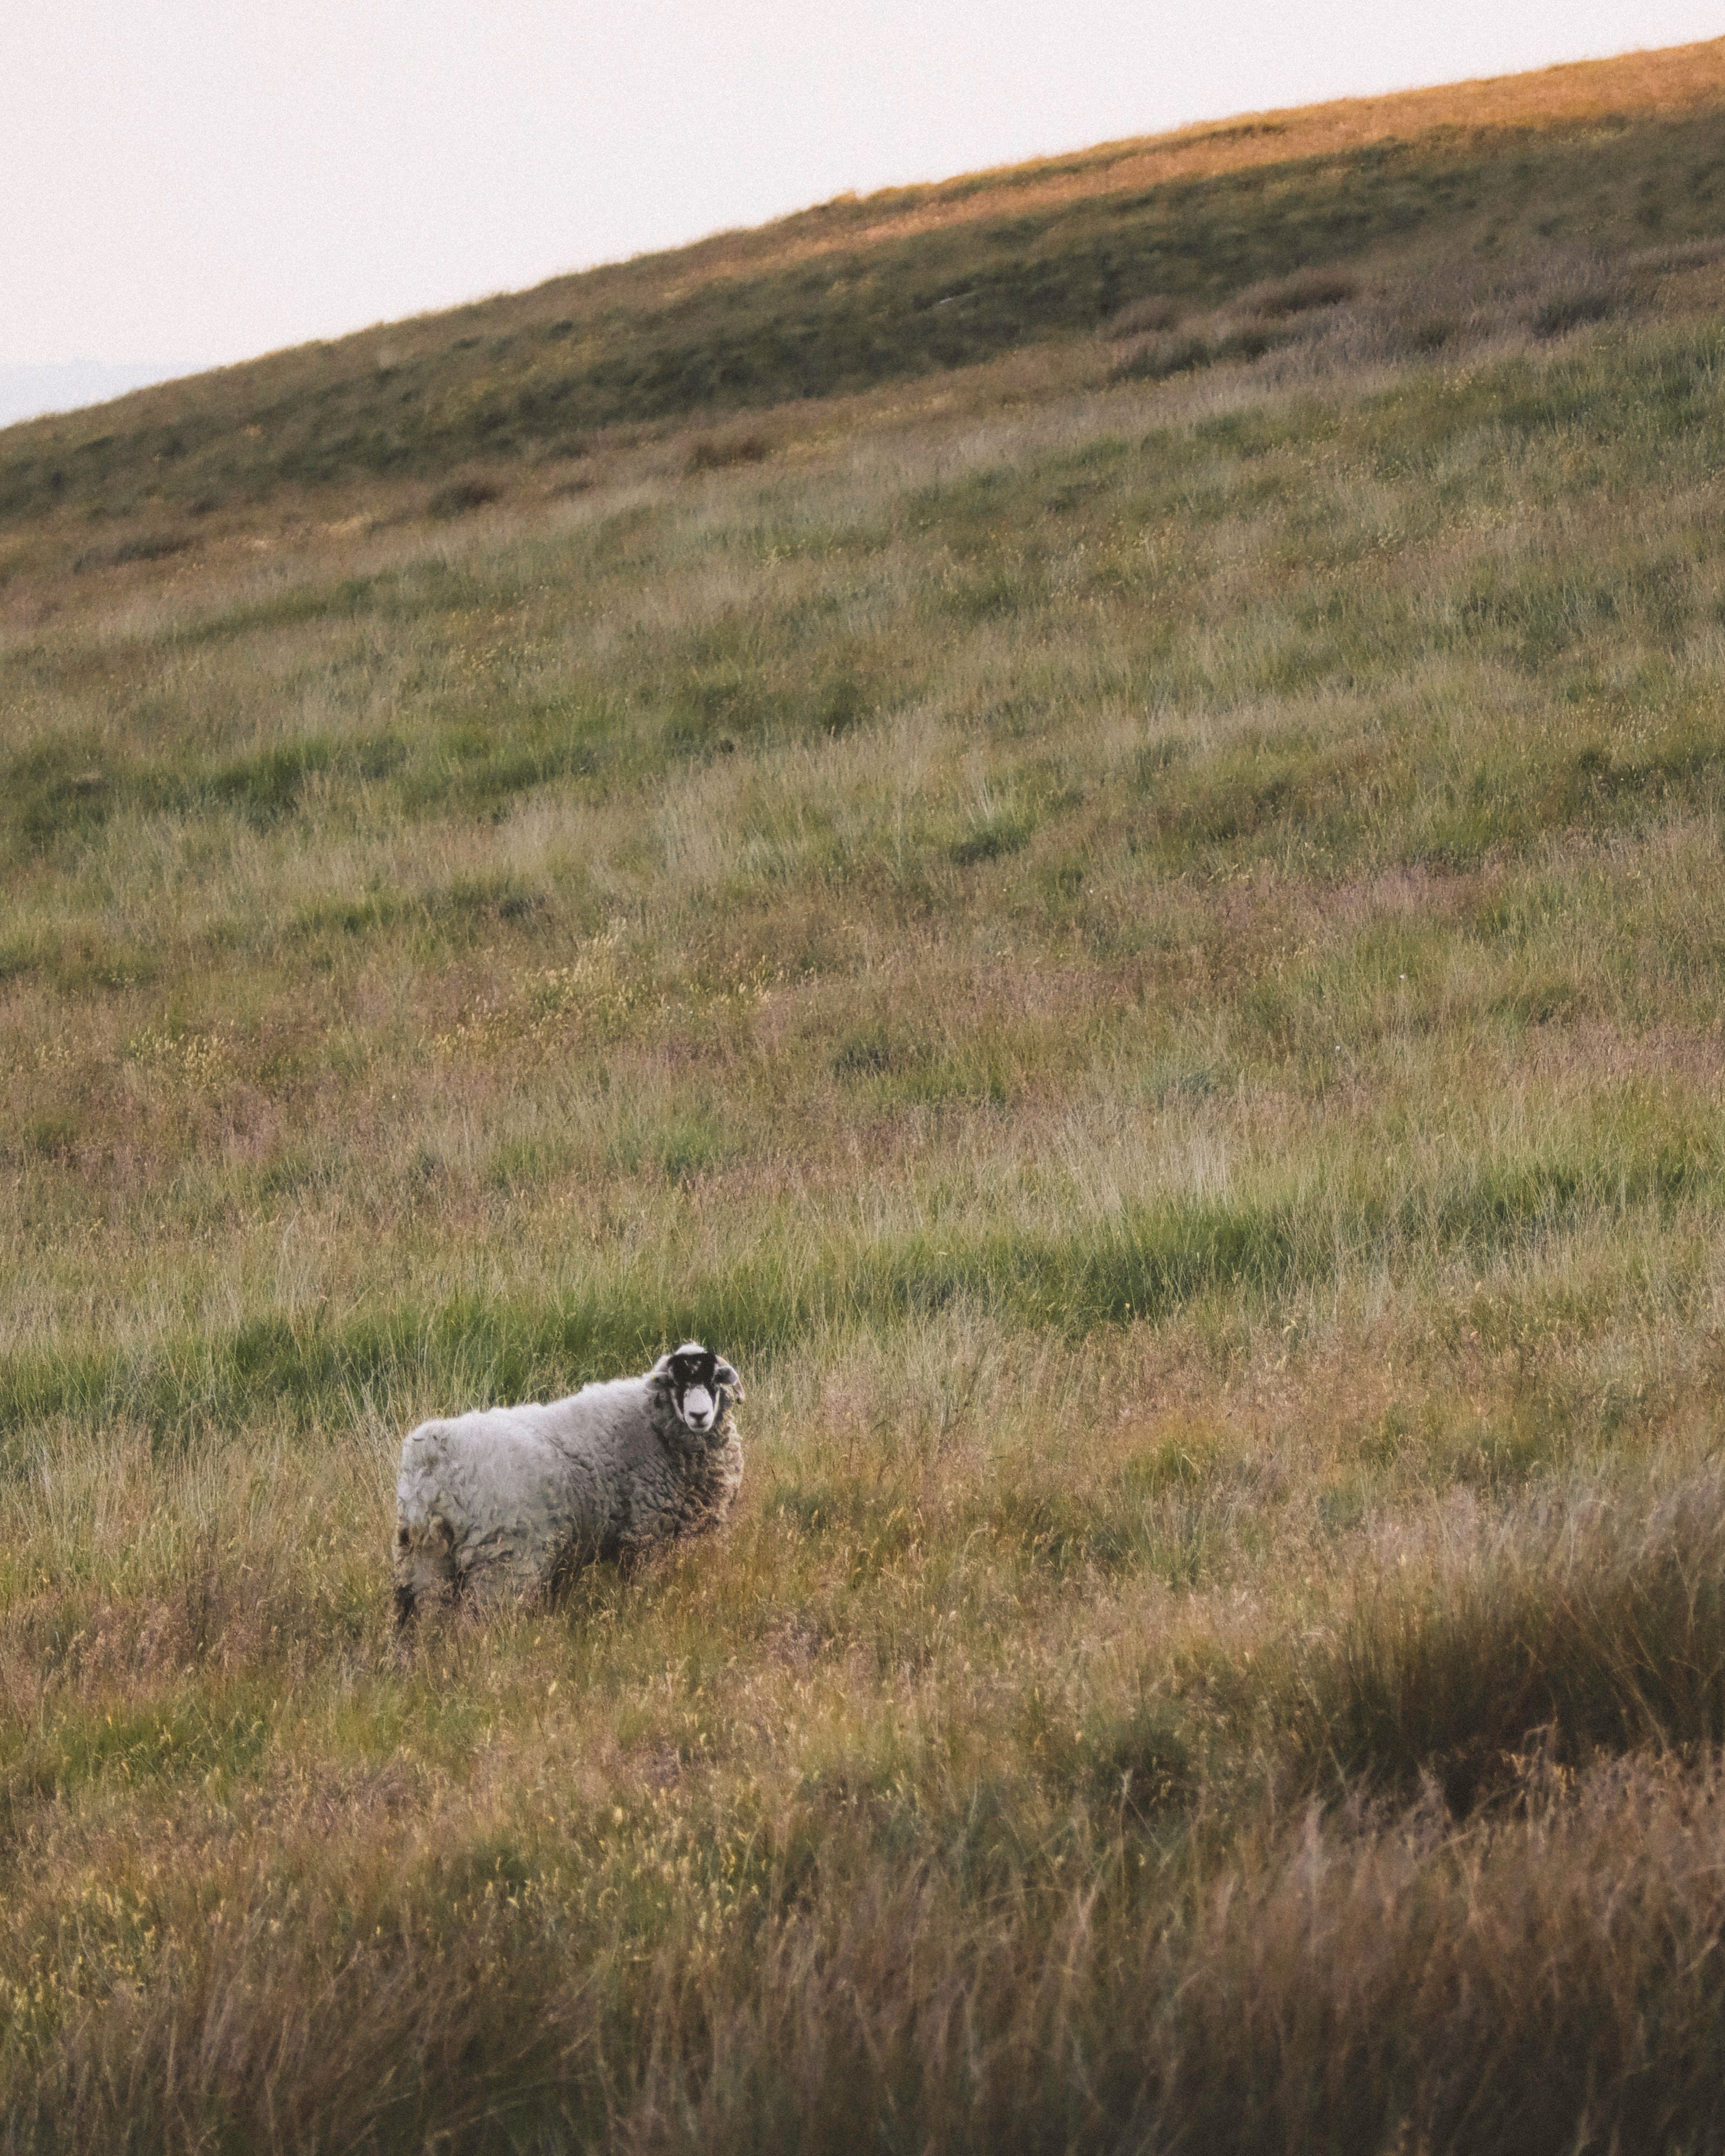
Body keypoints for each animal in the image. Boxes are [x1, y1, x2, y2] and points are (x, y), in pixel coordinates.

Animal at [392, 1341, 743, 1624]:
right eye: (674, 1383)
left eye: (714, 1379)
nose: (699, 1416)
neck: (654, 1426)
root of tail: (432, 1457)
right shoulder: (648, 1536)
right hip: (503, 1562)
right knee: (477, 1624)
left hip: (422, 1558)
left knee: (414, 1620)